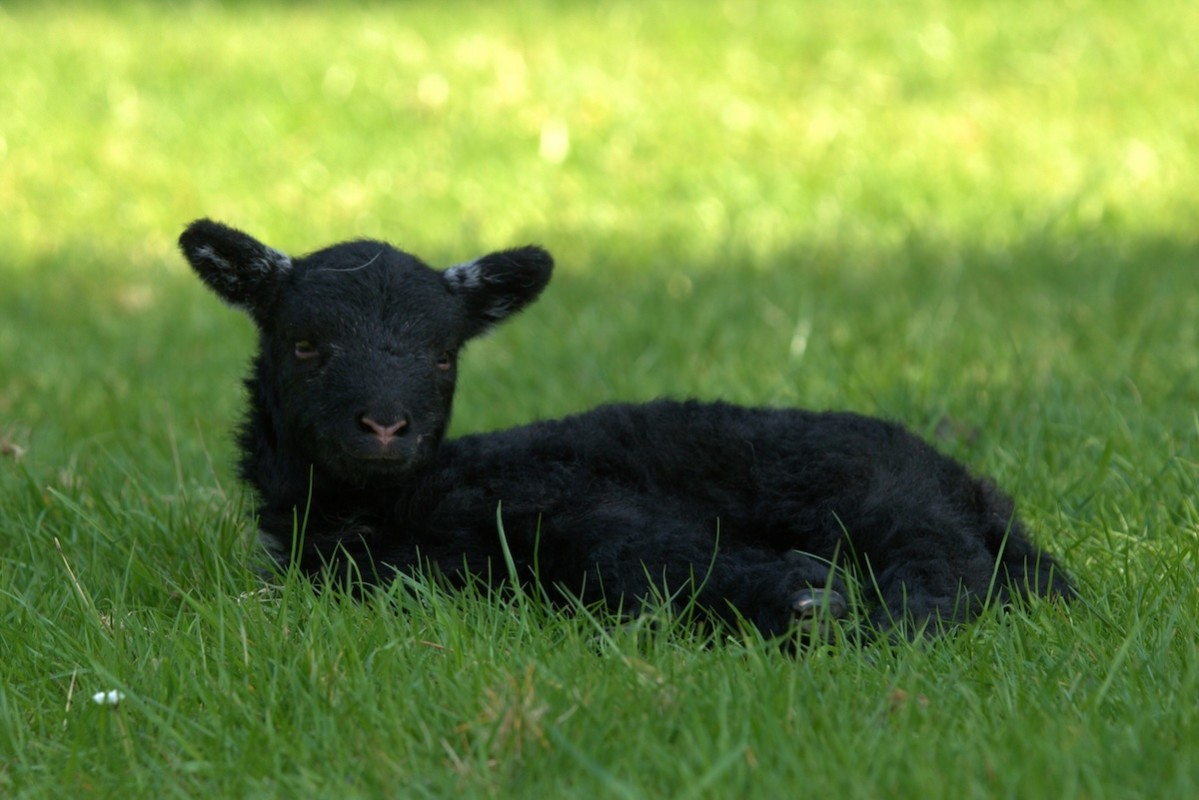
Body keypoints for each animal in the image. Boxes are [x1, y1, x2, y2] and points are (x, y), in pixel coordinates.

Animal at [179, 218, 1073, 639]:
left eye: (441, 355)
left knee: (943, 573)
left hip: (866, 493)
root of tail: (969, 486)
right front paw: (801, 593)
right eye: (304, 343)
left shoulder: (575, 504)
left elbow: (650, 554)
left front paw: (802, 596)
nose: (385, 426)